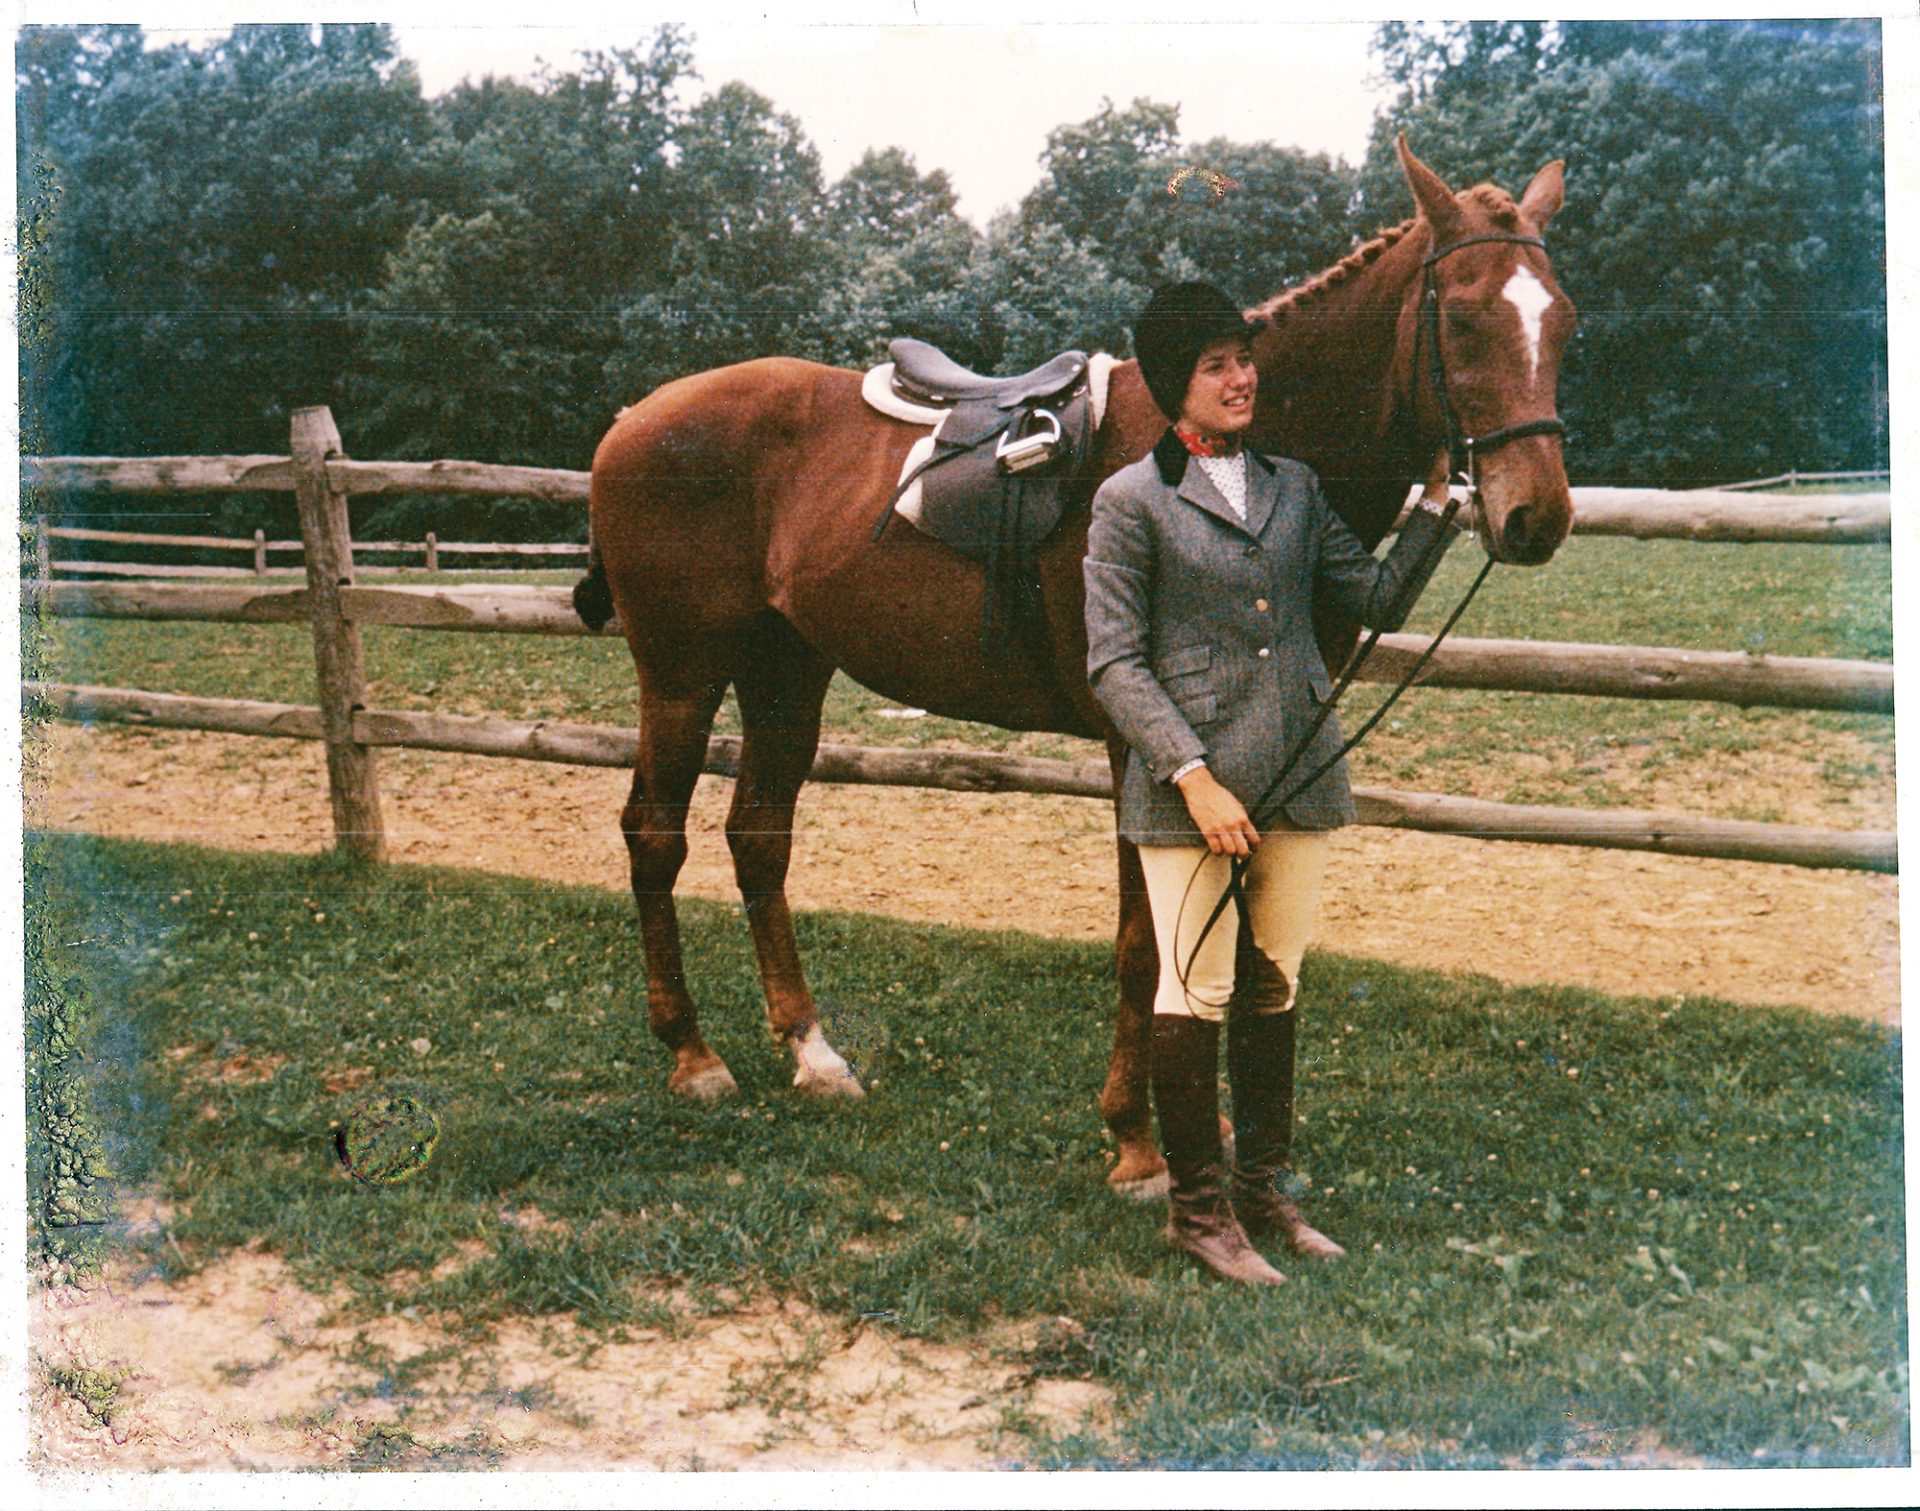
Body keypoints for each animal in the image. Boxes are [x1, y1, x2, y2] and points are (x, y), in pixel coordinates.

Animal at [581, 137, 1577, 1195]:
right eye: (1463, 316)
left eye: (1565, 321)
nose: (1536, 515)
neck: (1225, 448)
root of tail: (635, 416)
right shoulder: (1144, 747)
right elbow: (1148, 944)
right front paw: (1138, 1142)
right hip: (681, 674)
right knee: (656, 835)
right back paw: (693, 1054)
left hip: (786, 671)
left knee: (758, 838)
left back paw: (813, 1052)